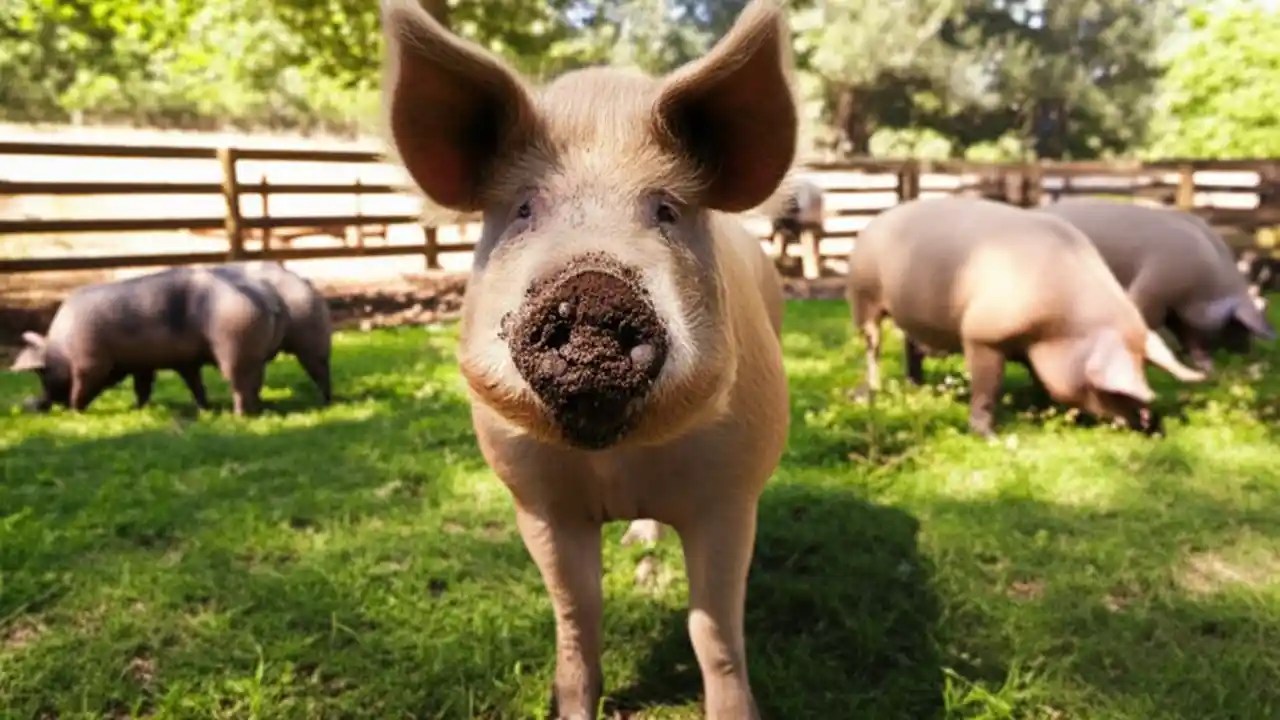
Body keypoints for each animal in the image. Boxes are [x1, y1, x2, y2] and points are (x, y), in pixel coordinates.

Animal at [9, 266, 286, 416]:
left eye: (42, 373)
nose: (34, 403)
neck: (62, 349)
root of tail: (267, 297)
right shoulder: (152, 364)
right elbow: (148, 386)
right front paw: (140, 408)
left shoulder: (91, 364)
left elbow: (82, 387)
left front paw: (75, 410)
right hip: (254, 355)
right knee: (254, 382)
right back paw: (252, 409)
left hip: (234, 351)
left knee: (239, 383)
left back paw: (238, 416)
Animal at [381, 0, 794, 717]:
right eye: (523, 208)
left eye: (666, 210)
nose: (596, 287)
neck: (616, 459)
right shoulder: (537, 498)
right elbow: (579, 615)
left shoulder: (730, 491)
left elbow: (713, 631)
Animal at [847, 196, 1207, 436]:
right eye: (1114, 390)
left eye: (1145, 366)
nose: (1155, 425)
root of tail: (878, 218)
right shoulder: (981, 334)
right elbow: (986, 388)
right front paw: (990, 435)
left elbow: (1041, 378)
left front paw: (1043, 407)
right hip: (864, 295)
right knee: (872, 344)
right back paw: (869, 392)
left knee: (911, 345)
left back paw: (916, 385)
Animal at [1039, 198, 1275, 372]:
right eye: (1237, 324)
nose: (1249, 354)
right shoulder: (1154, 288)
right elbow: (1145, 321)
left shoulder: (1174, 307)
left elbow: (1187, 333)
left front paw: (1205, 367)